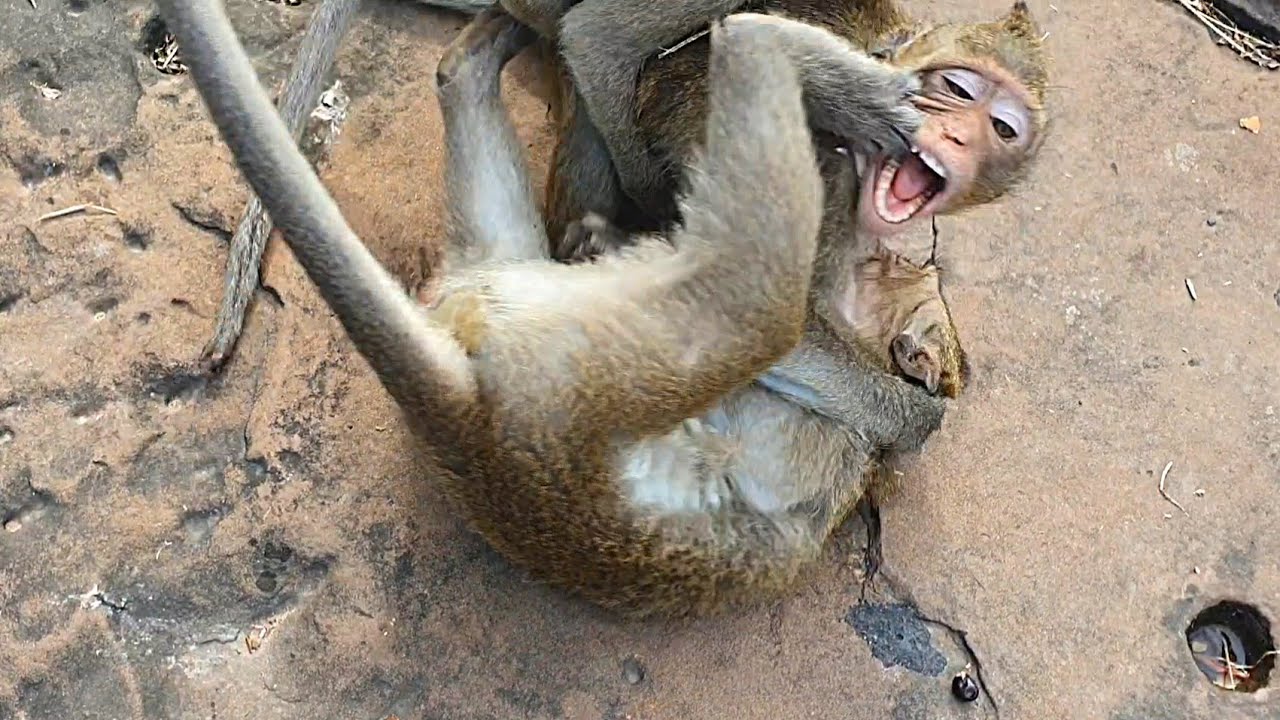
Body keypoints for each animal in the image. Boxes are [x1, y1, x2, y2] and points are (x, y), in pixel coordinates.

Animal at [155, 0, 951, 617]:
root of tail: (473, 428)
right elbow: (847, 370)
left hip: (551, 326)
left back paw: (489, 44)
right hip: (595, 370)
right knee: (756, 288)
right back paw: (792, 58)